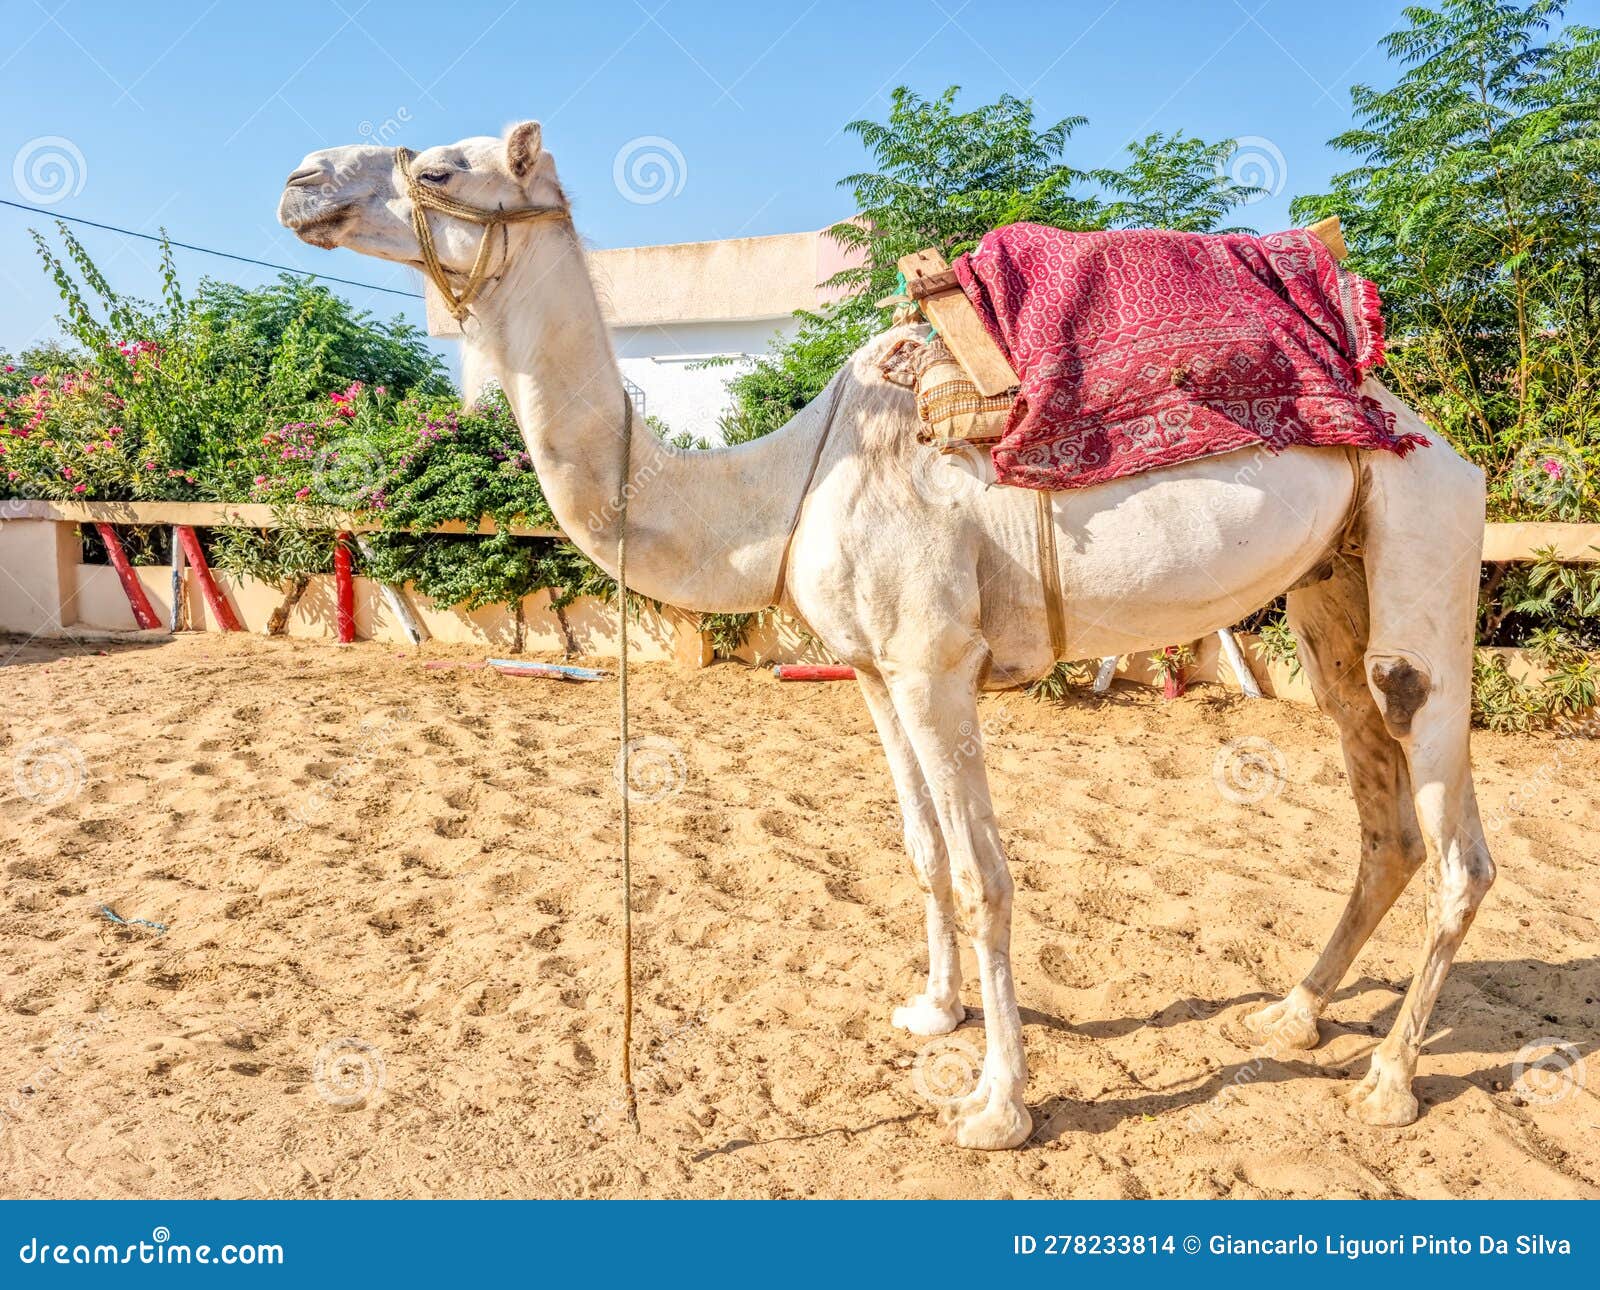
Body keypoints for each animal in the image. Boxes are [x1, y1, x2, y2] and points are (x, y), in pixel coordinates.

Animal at [279, 122, 1495, 1150]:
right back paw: (1291, 1014)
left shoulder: (932, 666)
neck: (782, 485)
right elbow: (920, 848)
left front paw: (999, 1106)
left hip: (1424, 544)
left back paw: (1388, 1081)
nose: (300, 180)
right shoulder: (871, 670)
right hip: (1334, 580)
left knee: (1450, 823)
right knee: (1380, 808)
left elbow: (985, 875)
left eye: (440, 166)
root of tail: (1436, 434)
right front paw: (933, 1013)